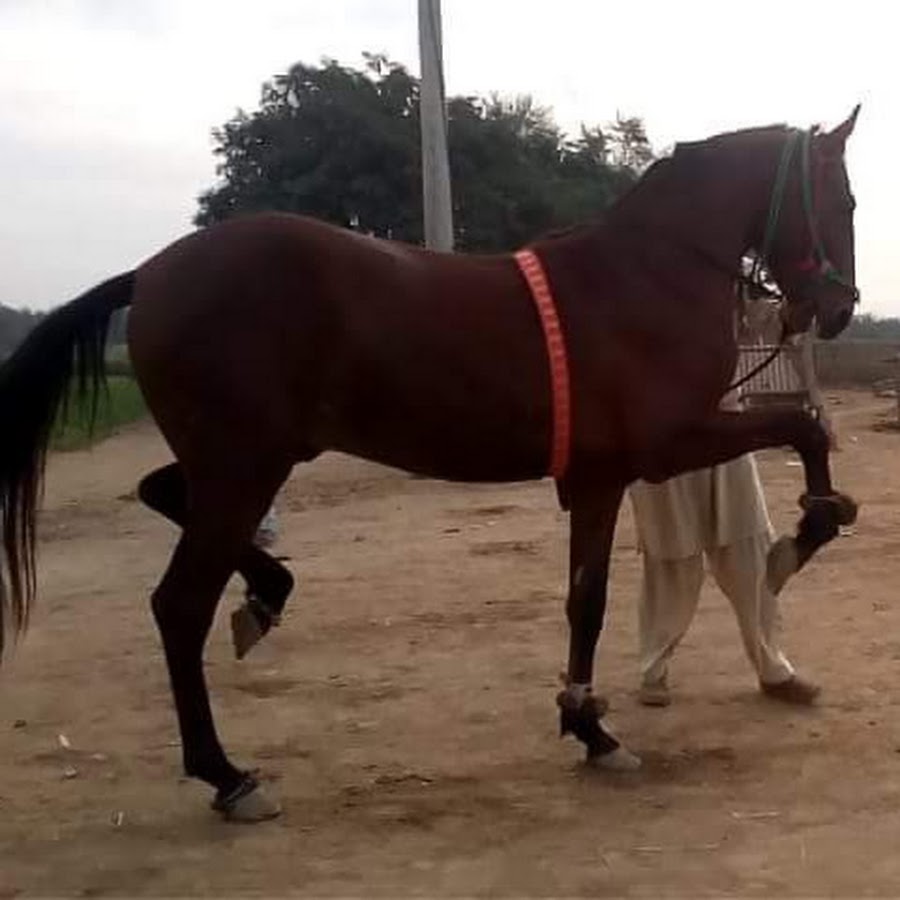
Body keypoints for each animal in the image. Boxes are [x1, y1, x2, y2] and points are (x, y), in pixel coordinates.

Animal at [0, 108, 860, 821]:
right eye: (845, 201)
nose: (840, 307)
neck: (647, 272)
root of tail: (151, 273)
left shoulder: (598, 478)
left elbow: (585, 602)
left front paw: (589, 728)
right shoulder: (667, 445)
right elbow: (806, 428)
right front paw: (804, 533)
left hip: (237, 463)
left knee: (160, 494)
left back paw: (267, 592)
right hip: (244, 467)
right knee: (179, 606)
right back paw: (228, 775)